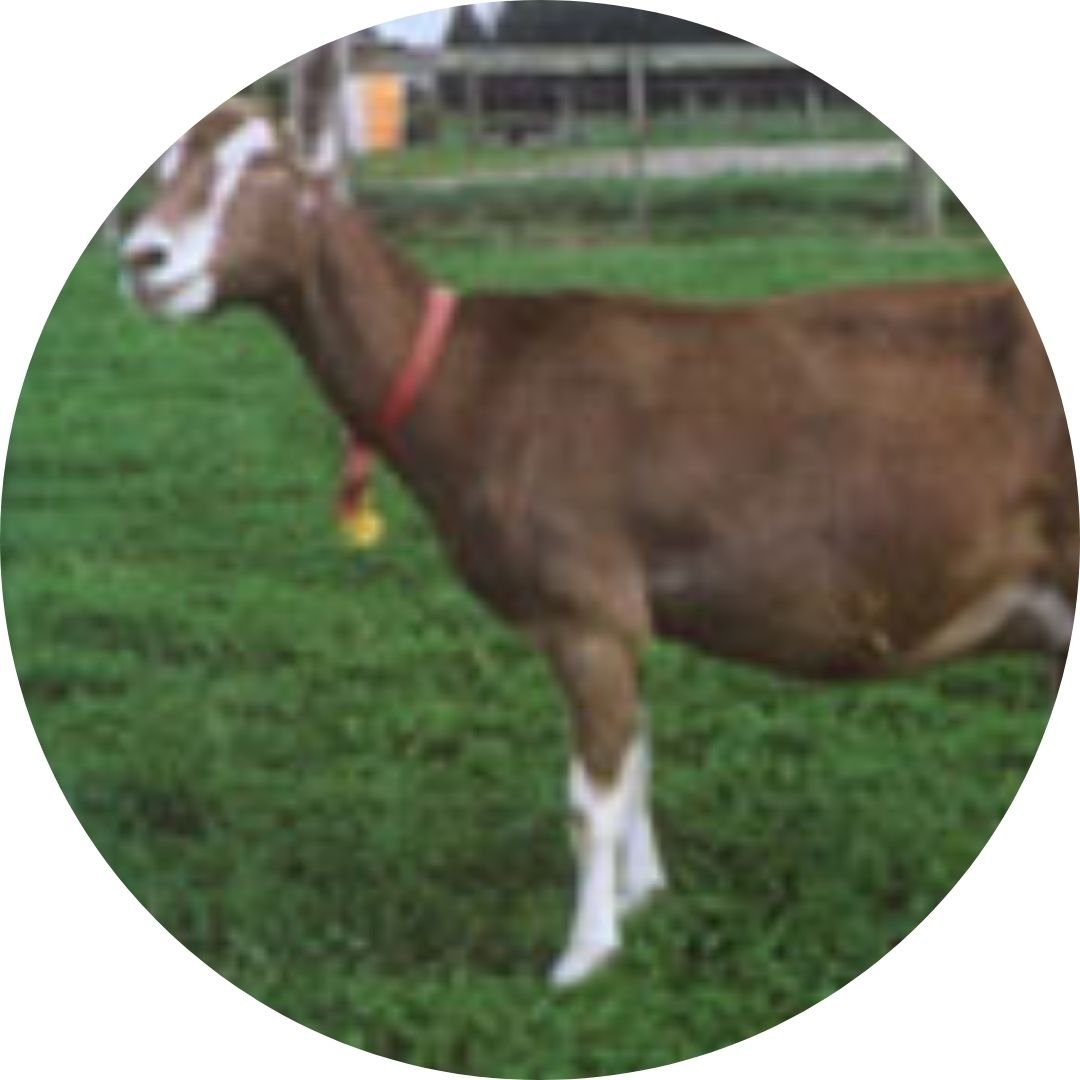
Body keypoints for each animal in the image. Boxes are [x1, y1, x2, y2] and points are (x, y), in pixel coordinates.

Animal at [120, 98, 1076, 987]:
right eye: (165, 165)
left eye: (267, 168)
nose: (141, 259)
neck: (474, 382)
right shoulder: (626, 608)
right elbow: (636, 758)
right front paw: (643, 896)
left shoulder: (583, 603)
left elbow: (590, 797)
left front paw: (583, 955)